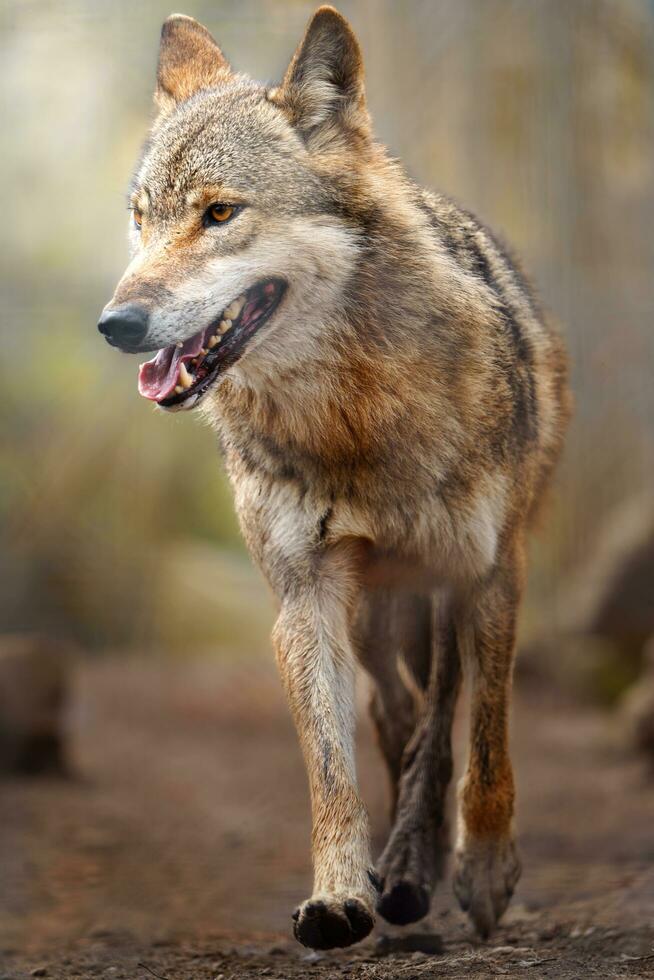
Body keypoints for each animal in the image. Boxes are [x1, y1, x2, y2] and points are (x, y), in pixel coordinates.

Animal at [99, 6, 570, 951]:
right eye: (142, 218)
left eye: (218, 213)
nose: (116, 322)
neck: (352, 415)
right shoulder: (305, 596)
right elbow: (331, 771)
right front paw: (341, 895)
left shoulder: (491, 571)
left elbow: (487, 738)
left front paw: (484, 869)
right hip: (375, 617)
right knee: (399, 713)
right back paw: (403, 871)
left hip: (434, 590)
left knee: (441, 712)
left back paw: (424, 863)